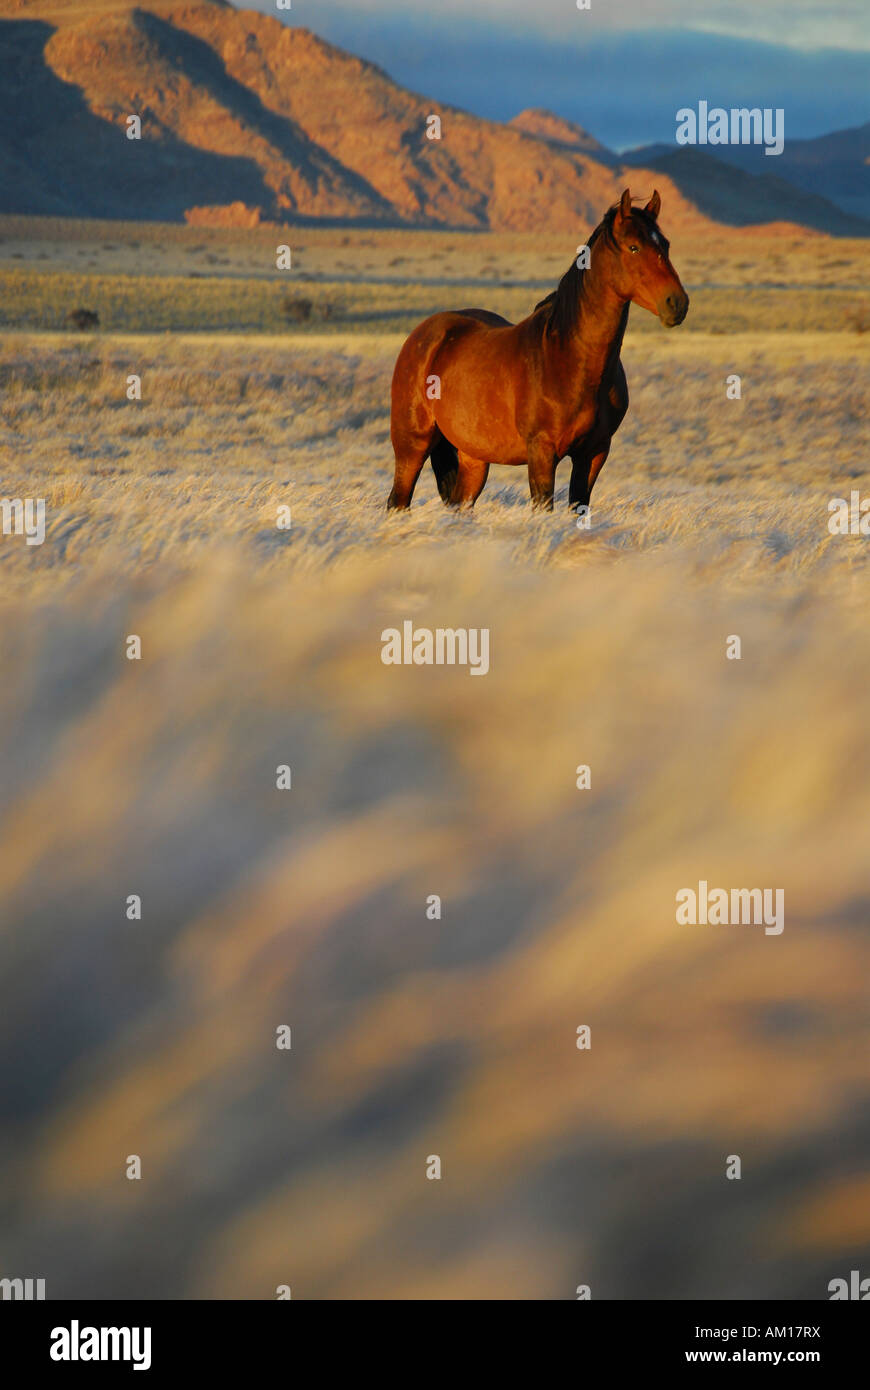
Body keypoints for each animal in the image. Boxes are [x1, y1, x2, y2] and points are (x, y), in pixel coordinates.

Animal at [387, 189, 688, 512]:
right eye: (634, 247)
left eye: (666, 245)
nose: (677, 303)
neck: (570, 359)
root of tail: (424, 333)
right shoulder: (542, 452)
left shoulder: (594, 453)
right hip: (412, 445)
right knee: (398, 500)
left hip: (474, 458)